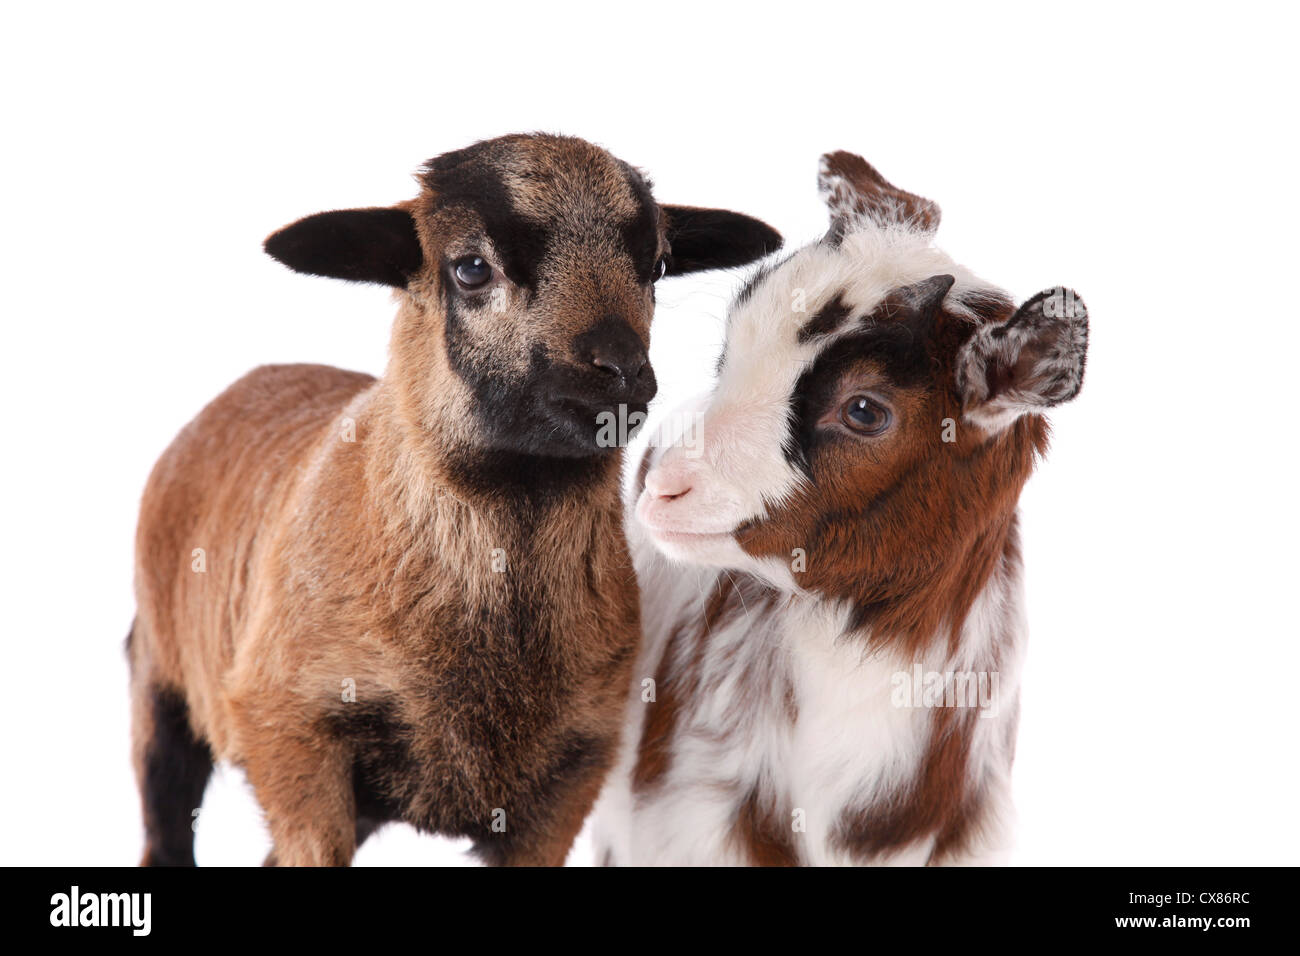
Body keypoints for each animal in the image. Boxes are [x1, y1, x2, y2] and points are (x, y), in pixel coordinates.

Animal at [128, 132, 781, 866]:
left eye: (660, 264)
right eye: (471, 269)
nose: (622, 371)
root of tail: (262, 374)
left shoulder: (568, 781)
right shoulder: (294, 739)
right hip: (159, 682)